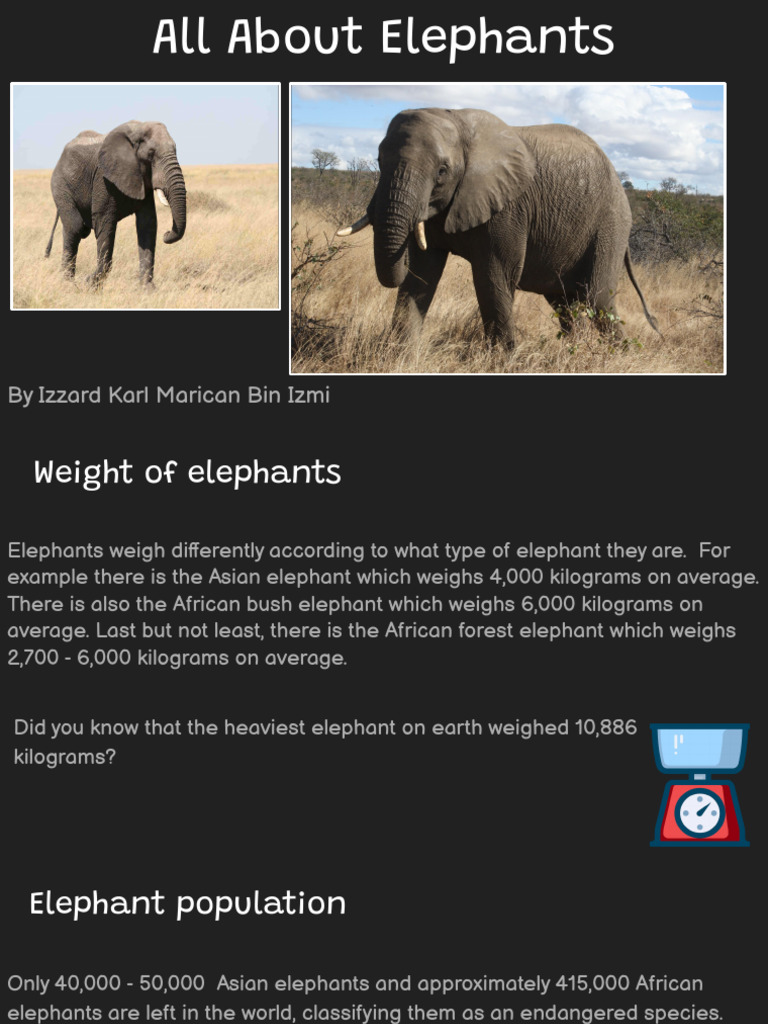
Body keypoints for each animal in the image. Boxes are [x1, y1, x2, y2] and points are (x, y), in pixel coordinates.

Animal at [44, 121, 186, 287]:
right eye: (150, 154)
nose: (167, 233)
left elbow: (147, 224)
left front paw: (147, 288)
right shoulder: (104, 178)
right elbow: (104, 222)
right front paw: (91, 284)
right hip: (61, 185)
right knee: (75, 226)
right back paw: (68, 283)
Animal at [338, 108, 660, 347]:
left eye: (442, 171)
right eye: (379, 160)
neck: (457, 121)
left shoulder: (510, 209)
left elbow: (493, 277)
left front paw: (503, 361)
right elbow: (421, 274)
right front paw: (399, 353)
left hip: (610, 226)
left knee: (599, 299)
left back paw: (618, 355)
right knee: (565, 304)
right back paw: (574, 351)